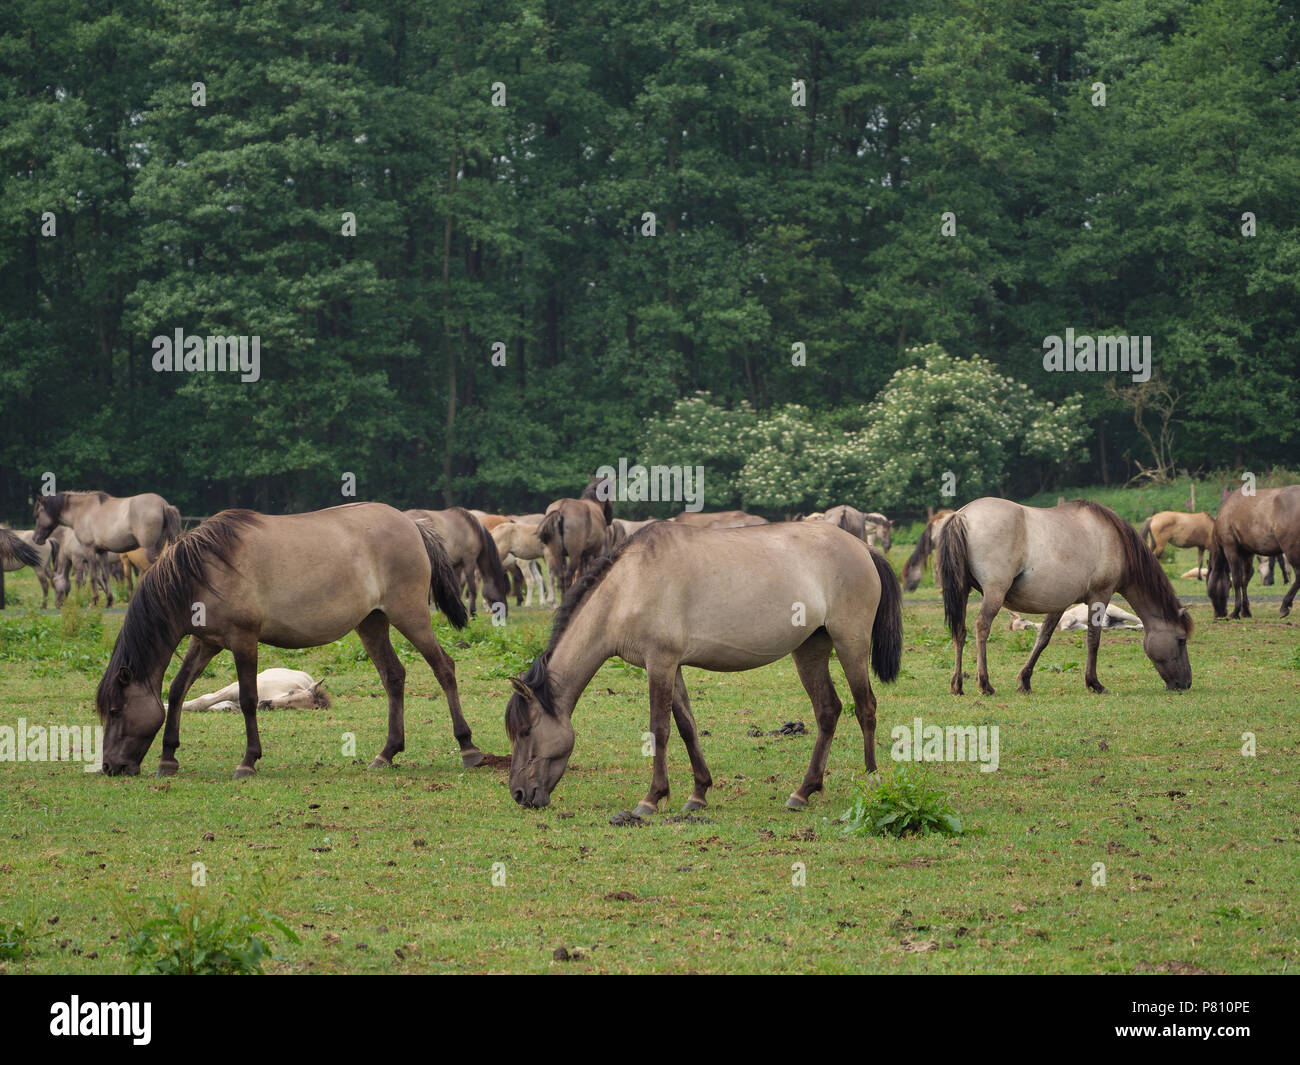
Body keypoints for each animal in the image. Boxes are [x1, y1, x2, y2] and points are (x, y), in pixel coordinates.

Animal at [33, 491, 180, 563]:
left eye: (38, 514)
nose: (35, 538)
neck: (82, 510)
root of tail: (163, 504)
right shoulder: (102, 551)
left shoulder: (89, 549)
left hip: (149, 549)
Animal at [504, 521, 902, 814]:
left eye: (525, 731)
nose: (519, 794)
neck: (628, 585)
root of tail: (863, 547)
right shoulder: (672, 666)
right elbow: (687, 728)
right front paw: (698, 794)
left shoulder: (659, 663)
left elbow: (660, 729)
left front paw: (651, 799)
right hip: (810, 650)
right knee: (828, 711)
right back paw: (803, 791)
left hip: (850, 643)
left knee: (865, 708)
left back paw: (871, 780)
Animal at [937, 498, 1192, 695]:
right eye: (1181, 640)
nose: (1185, 683)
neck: (1113, 538)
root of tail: (962, 515)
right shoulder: (1100, 595)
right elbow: (1093, 639)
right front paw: (1094, 683)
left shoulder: (1058, 603)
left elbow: (1042, 638)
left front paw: (1025, 681)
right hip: (994, 594)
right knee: (981, 627)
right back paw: (985, 684)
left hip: (962, 592)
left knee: (959, 631)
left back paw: (957, 685)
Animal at [1207, 486, 1300, 619]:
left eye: (1209, 592)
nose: (1219, 614)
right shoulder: (1247, 553)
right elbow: (1245, 579)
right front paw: (1245, 611)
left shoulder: (1230, 549)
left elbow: (1236, 579)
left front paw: (1235, 612)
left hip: (1290, 549)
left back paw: (1284, 606)